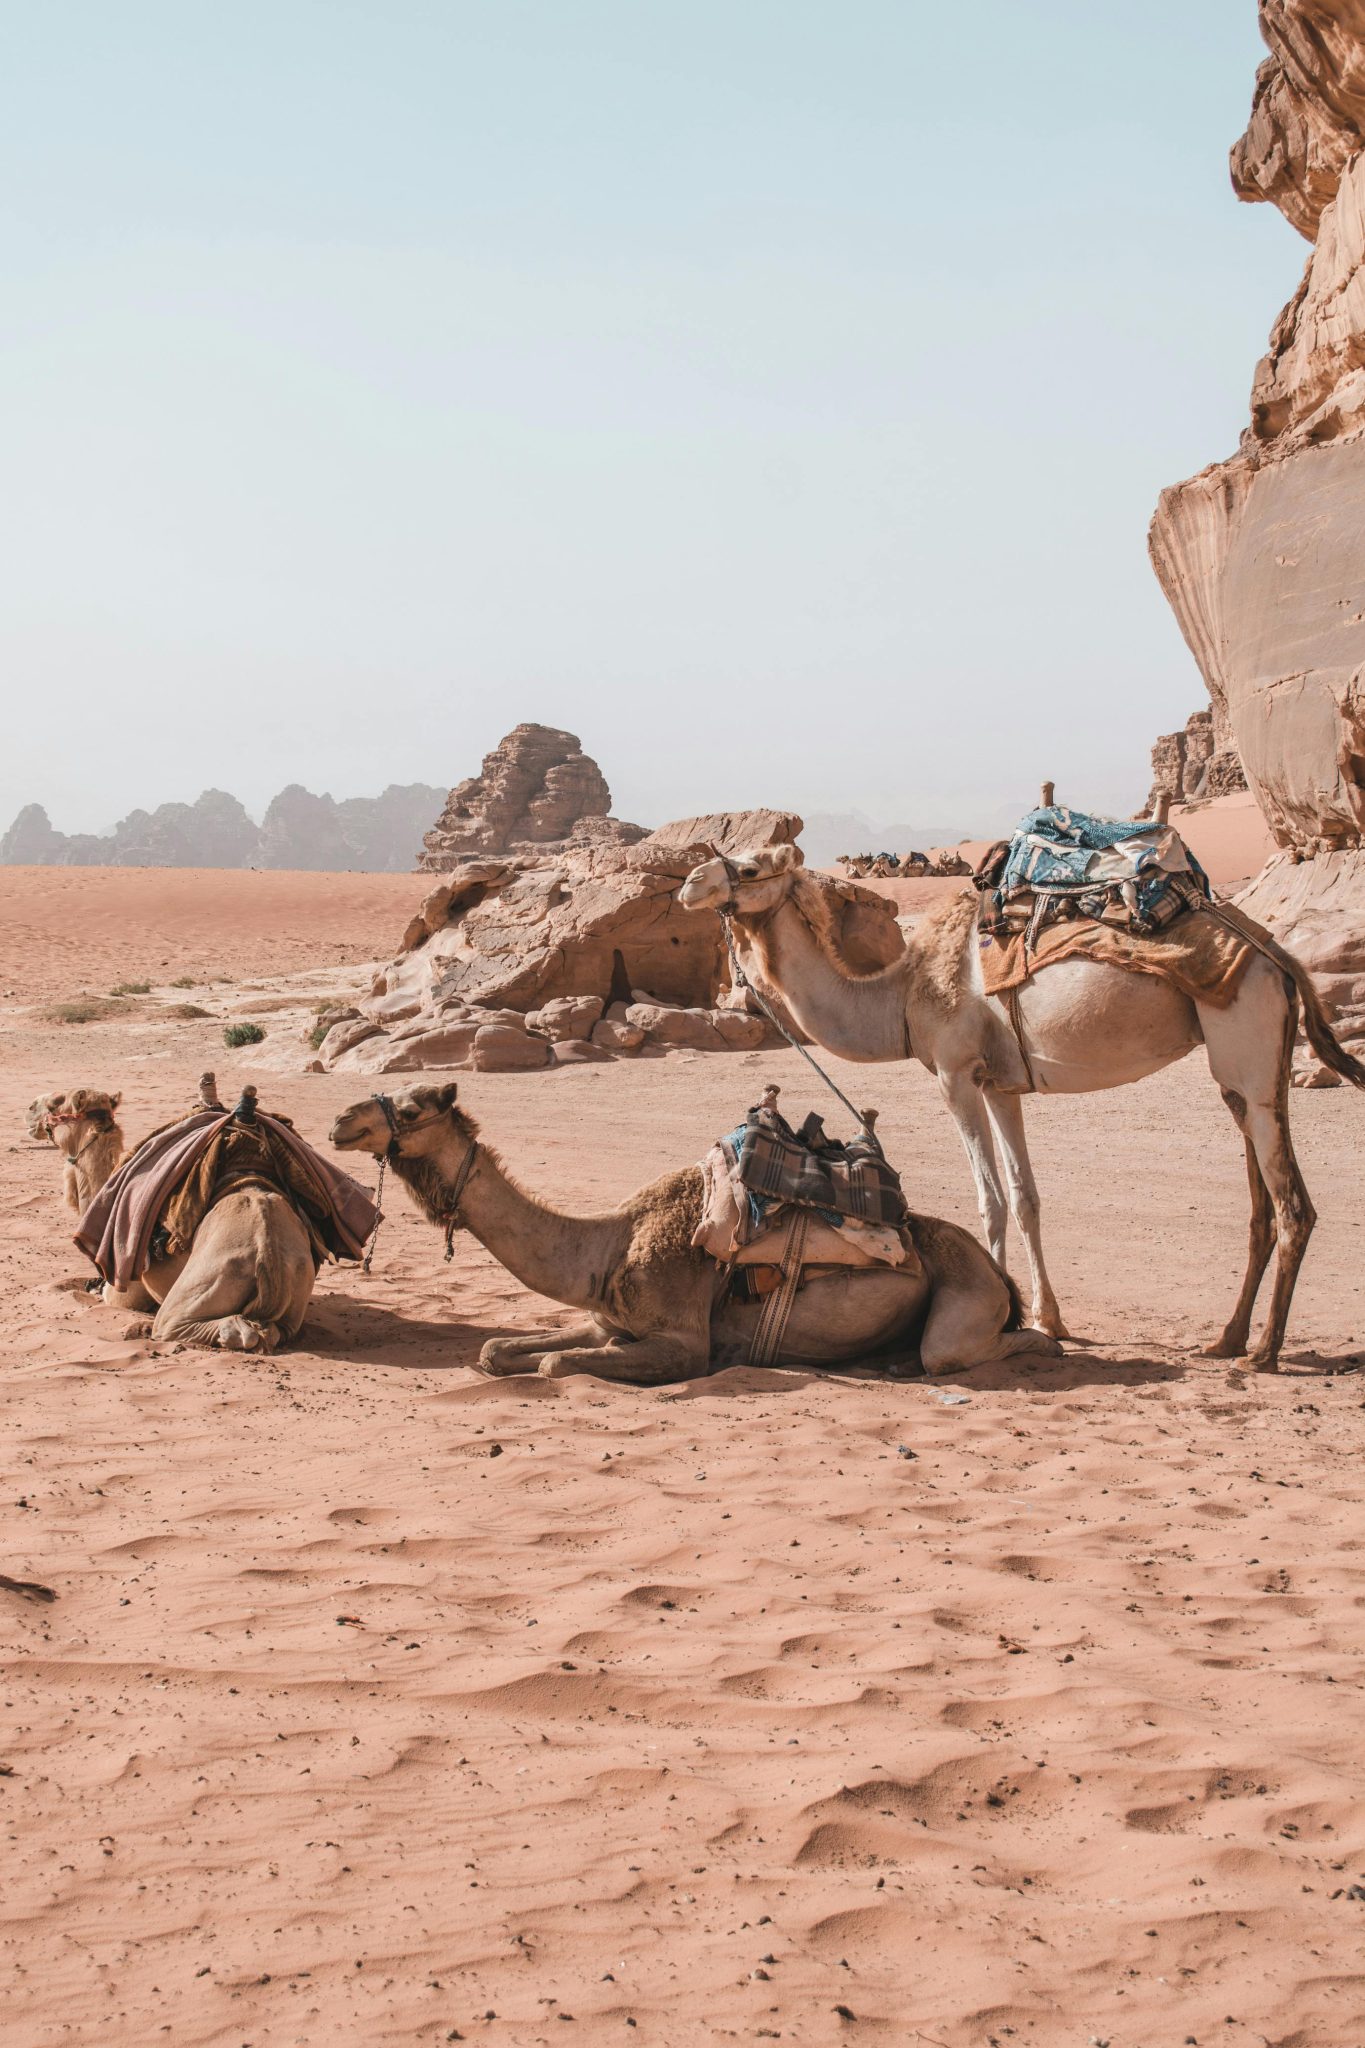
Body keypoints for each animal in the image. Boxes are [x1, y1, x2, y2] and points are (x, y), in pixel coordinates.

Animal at [328, 1082, 1060, 1383]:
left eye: (412, 1110)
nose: (340, 1120)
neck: (607, 1246)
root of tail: (995, 1272)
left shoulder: (681, 1341)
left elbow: (555, 1364)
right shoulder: (606, 1320)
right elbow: (497, 1350)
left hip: (964, 1295)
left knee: (970, 1347)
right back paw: (892, 1359)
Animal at [678, 844, 1365, 1370]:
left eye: (751, 865)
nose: (690, 883)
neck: (900, 996)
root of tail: (1280, 956)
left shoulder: (956, 1074)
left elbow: (989, 1199)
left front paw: (1000, 1310)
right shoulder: (1001, 1085)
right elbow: (1025, 1195)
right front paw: (1049, 1317)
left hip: (1245, 1035)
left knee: (1293, 1206)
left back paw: (1264, 1353)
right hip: (1245, 1071)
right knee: (1260, 1201)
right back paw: (1226, 1340)